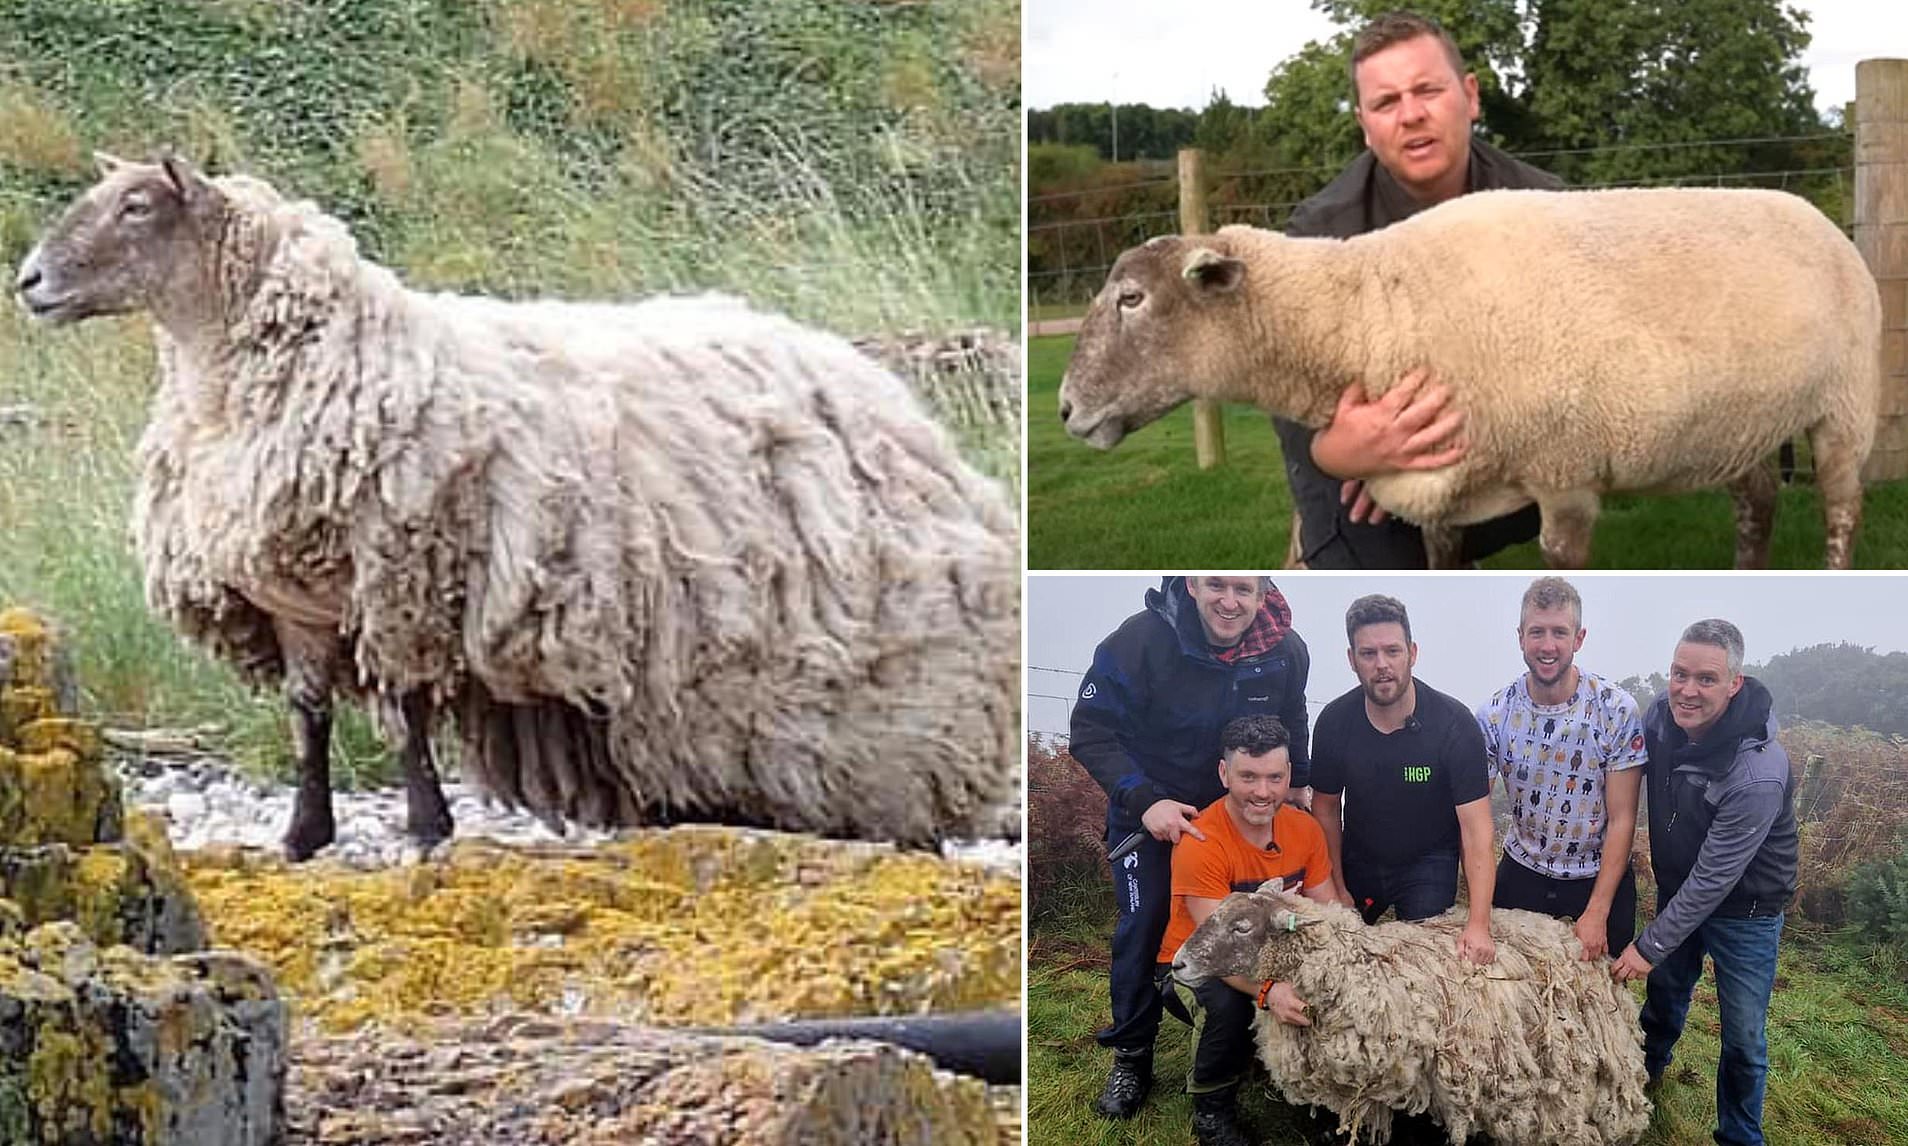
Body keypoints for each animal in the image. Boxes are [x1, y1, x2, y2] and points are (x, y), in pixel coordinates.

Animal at [14, 153, 1020, 861]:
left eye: (137, 206)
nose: (27, 281)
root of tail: (896, 402)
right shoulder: (293, 599)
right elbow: (308, 718)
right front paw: (303, 837)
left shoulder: (401, 578)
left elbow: (405, 715)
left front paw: (427, 829)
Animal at [1057, 187, 1882, 569]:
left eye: (1131, 299)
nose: (1064, 409)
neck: (1372, 313)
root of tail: (1814, 212)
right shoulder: (1438, 484)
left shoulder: (1564, 472)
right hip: (1736, 425)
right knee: (1759, 503)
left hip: (1845, 404)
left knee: (1842, 508)